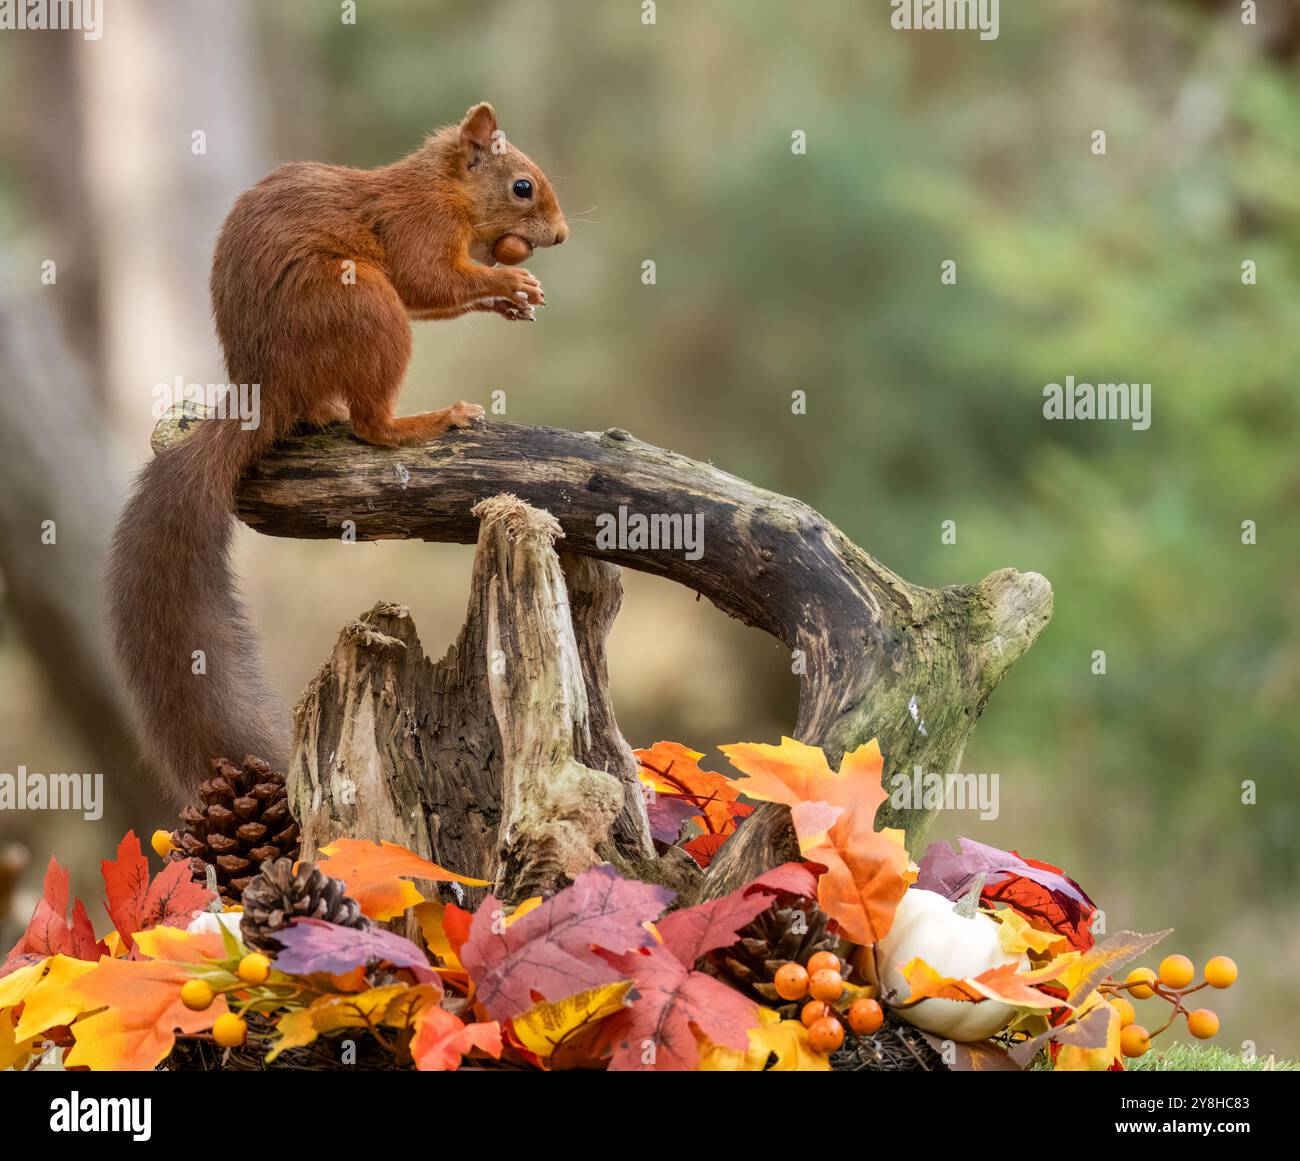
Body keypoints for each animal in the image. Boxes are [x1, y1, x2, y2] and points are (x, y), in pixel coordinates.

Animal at [106, 102, 567, 798]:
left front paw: (507, 297)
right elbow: (427, 278)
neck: (444, 188)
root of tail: (266, 386)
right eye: (522, 186)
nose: (561, 235)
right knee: (372, 425)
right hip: (363, 305)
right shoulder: (416, 227)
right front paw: (508, 279)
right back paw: (429, 420)